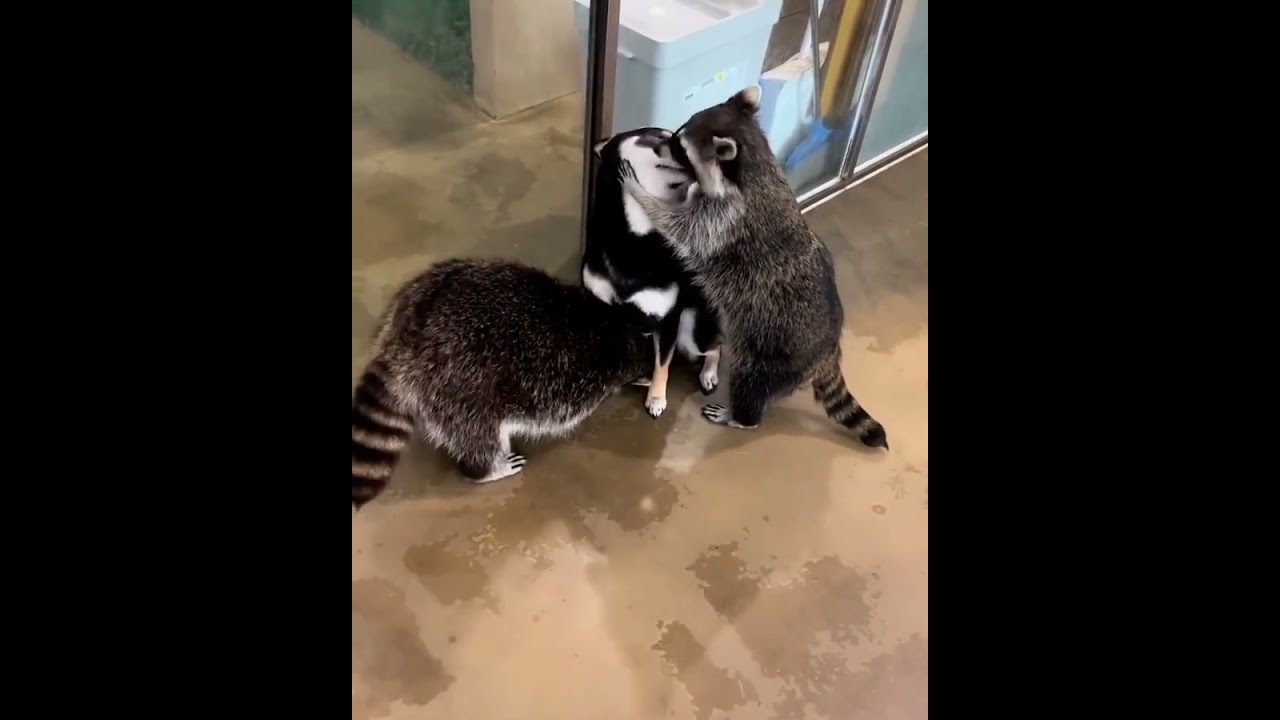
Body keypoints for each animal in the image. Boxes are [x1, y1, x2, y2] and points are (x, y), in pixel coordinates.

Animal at [351, 258, 653, 509]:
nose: (655, 376)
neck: (615, 326)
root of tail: (403, 338)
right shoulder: (574, 383)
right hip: (455, 388)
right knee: (479, 435)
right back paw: (485, 469)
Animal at [581, 126, 723, 419]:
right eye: (657, 136)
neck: (633, 244)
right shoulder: (602, 309)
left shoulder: (668, 320)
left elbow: (663, 365)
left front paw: (656, 397)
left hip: (691, 331)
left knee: (716, 346)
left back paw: (708, 373)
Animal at [617, 86, 888, 450]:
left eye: (680, 146)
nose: (660, 144)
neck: (754, 165)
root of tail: (828, 349)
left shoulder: (724, 221)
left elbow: (681, 229)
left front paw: (642, 194)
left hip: (773, 357)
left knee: (752, 385)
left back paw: (742, 417)